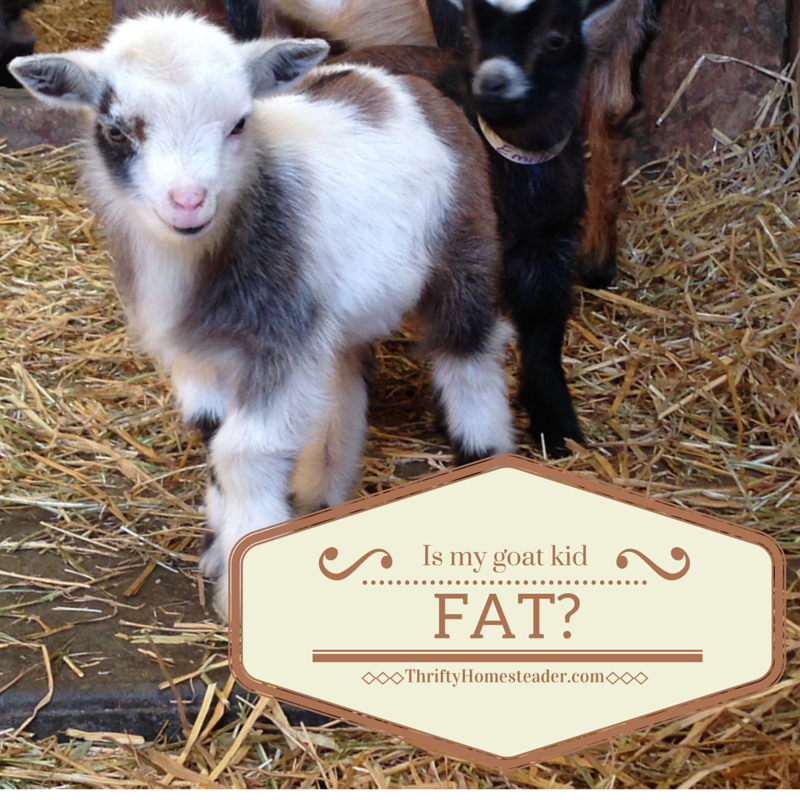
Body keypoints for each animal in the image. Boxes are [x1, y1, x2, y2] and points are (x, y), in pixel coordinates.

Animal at [11, 12, 514, 618]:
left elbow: (244, 452)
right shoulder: (200, 353)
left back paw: (482, 458)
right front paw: (218, 546)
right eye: (116, 131)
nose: (188, 203)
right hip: (334, 311)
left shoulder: (280, 343)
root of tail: (393, 80)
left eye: (238, 123)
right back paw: (323, 490)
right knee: (344, 379)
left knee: (468, 357)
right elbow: (211, 434)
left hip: (464, 251)